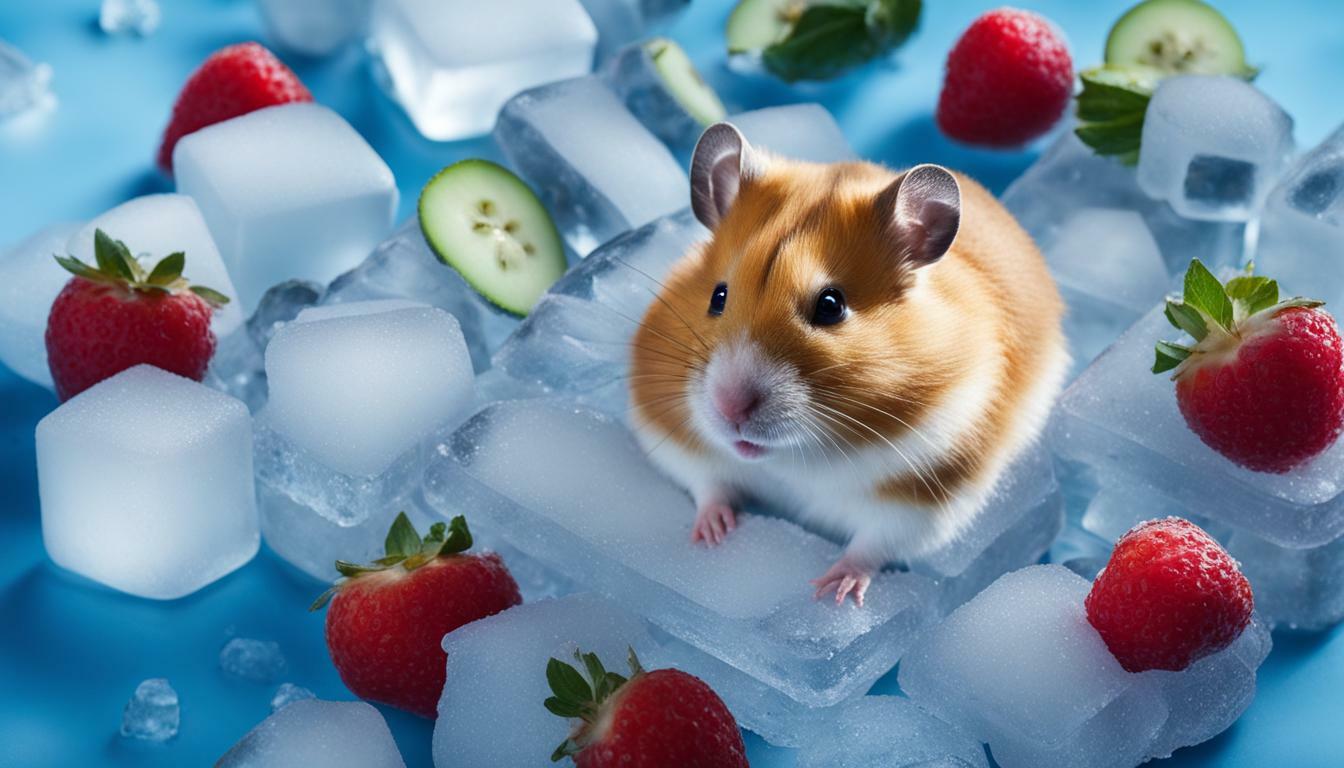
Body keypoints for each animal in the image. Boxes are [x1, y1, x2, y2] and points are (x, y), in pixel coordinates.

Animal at [627, 123, 1068, 606]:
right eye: (717, 296)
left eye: (831, 306)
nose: (730, 409)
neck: (792, 460)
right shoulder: (672, 437)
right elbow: (707, 484)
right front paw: (711, 536)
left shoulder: (924, 499)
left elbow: (872, 545)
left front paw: (832, 592)